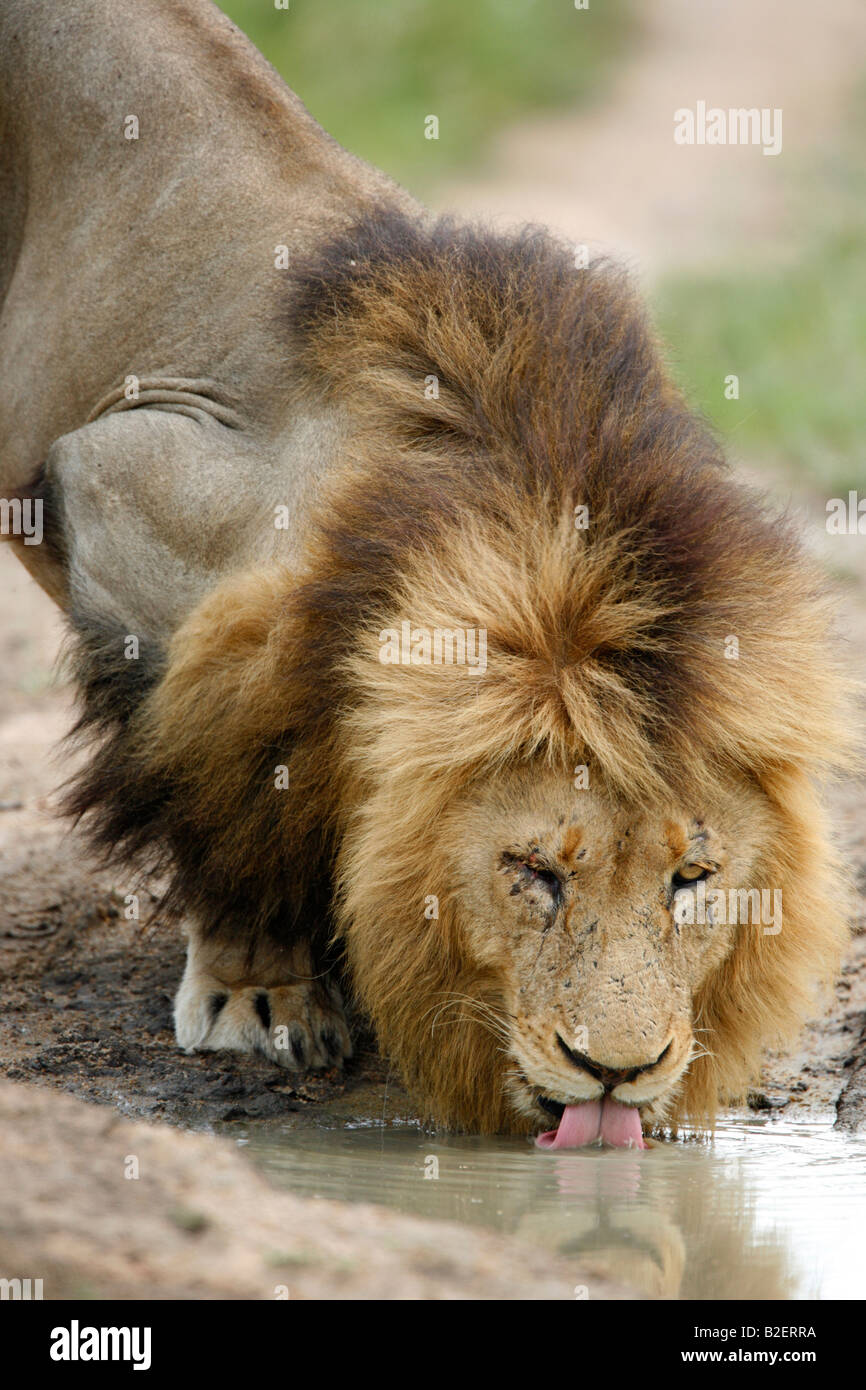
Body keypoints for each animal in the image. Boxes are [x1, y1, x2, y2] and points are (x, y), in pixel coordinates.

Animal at [0, 0, 852, 1145]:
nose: (617, 1071)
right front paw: (261, 993)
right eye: (533, 872)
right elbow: (214, 788)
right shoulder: (118, 486)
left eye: (692, 878)